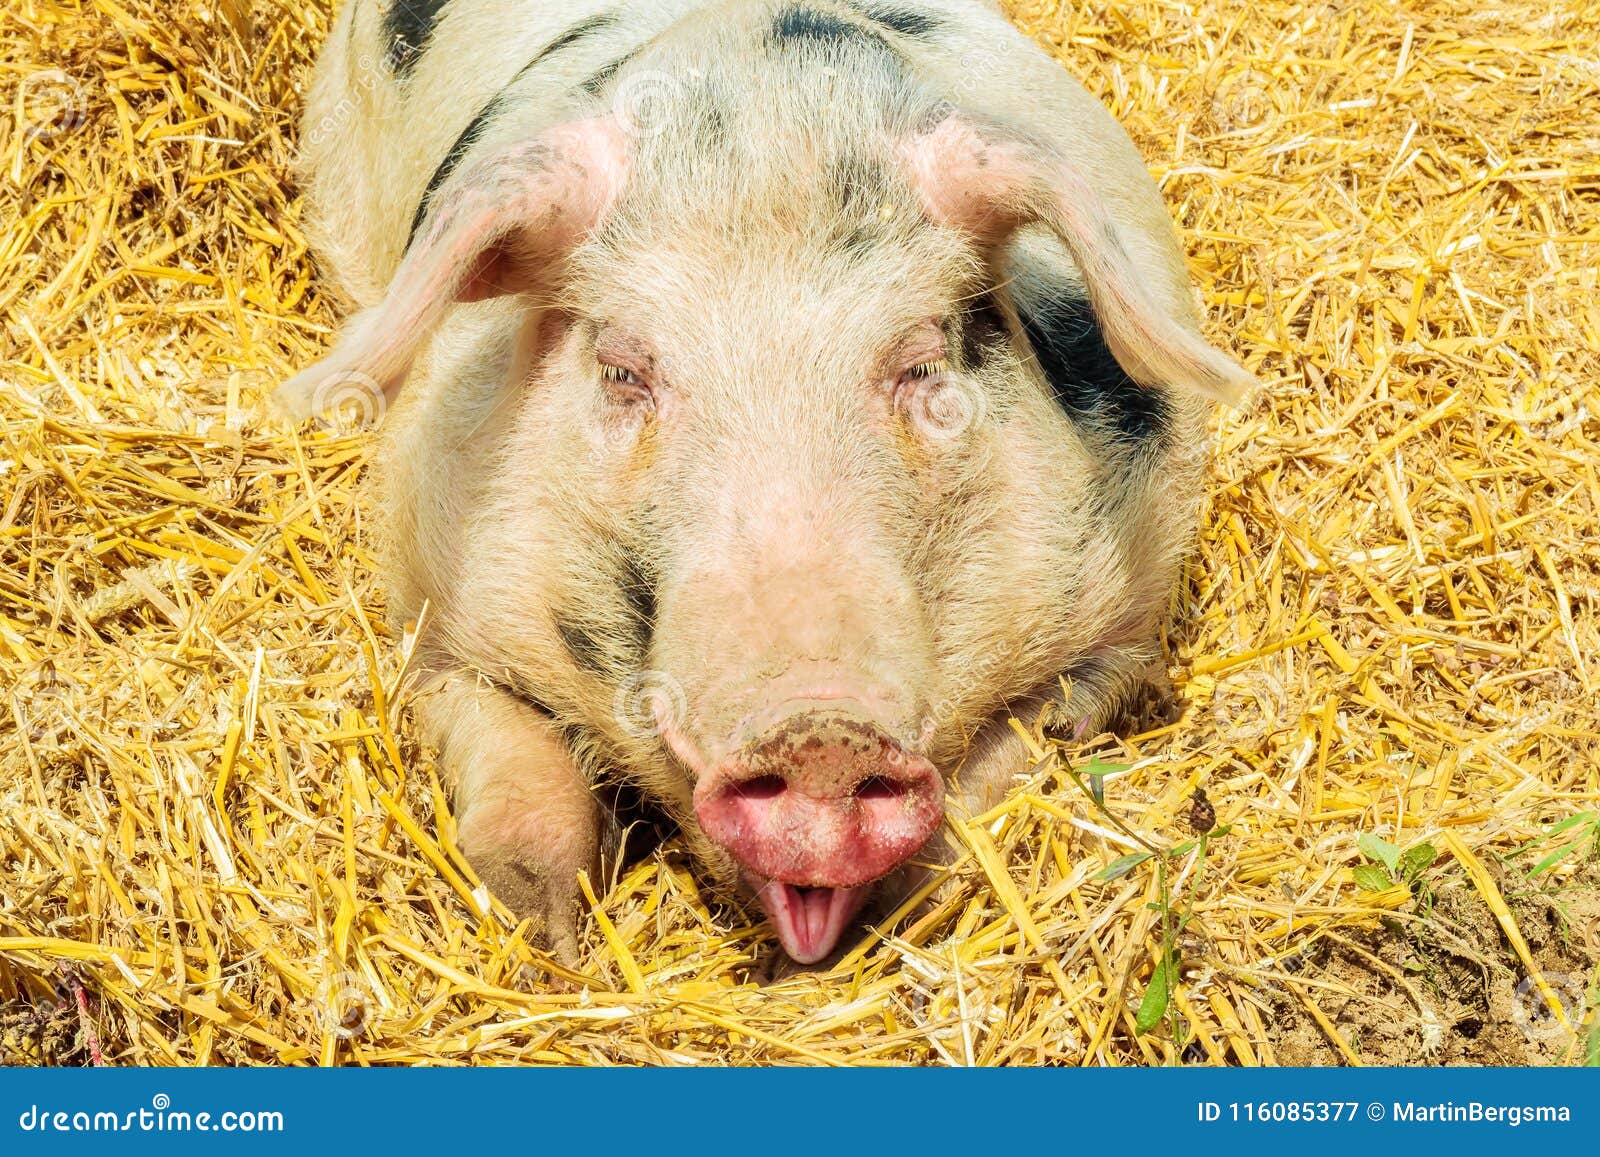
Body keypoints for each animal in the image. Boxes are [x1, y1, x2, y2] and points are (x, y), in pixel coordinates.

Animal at [282, 0, 1253, 965]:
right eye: (624, 369)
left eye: (923, 362)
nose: (819, 728)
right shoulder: (431, 602)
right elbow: (501, 736)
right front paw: (547, 937)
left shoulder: (1126, 609)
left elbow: (1012, 756)